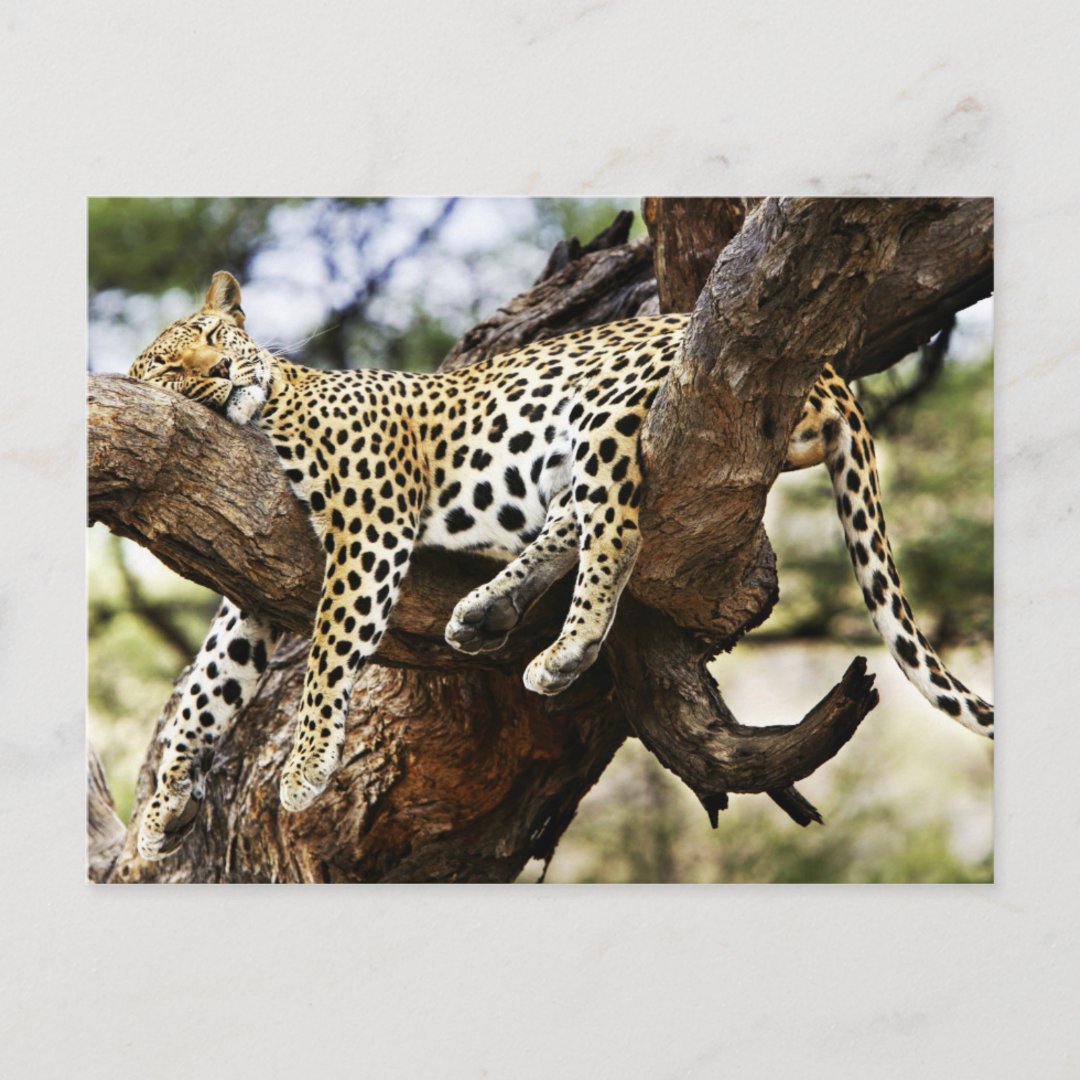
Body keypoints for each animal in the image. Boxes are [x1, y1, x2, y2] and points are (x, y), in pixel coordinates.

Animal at [128, 270, 993, 860]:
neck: (273, 405)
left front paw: (305, 767)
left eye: (215, 338)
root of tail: (831, 373)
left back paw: (564, 651)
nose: (220, 374)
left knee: (616, 529)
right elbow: (206, 688)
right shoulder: (252, 583)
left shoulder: (369, 524)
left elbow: (332, 651)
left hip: (606, 409)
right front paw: (159, 809)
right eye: (168, 368)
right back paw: (489, 611)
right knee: (574, 518)